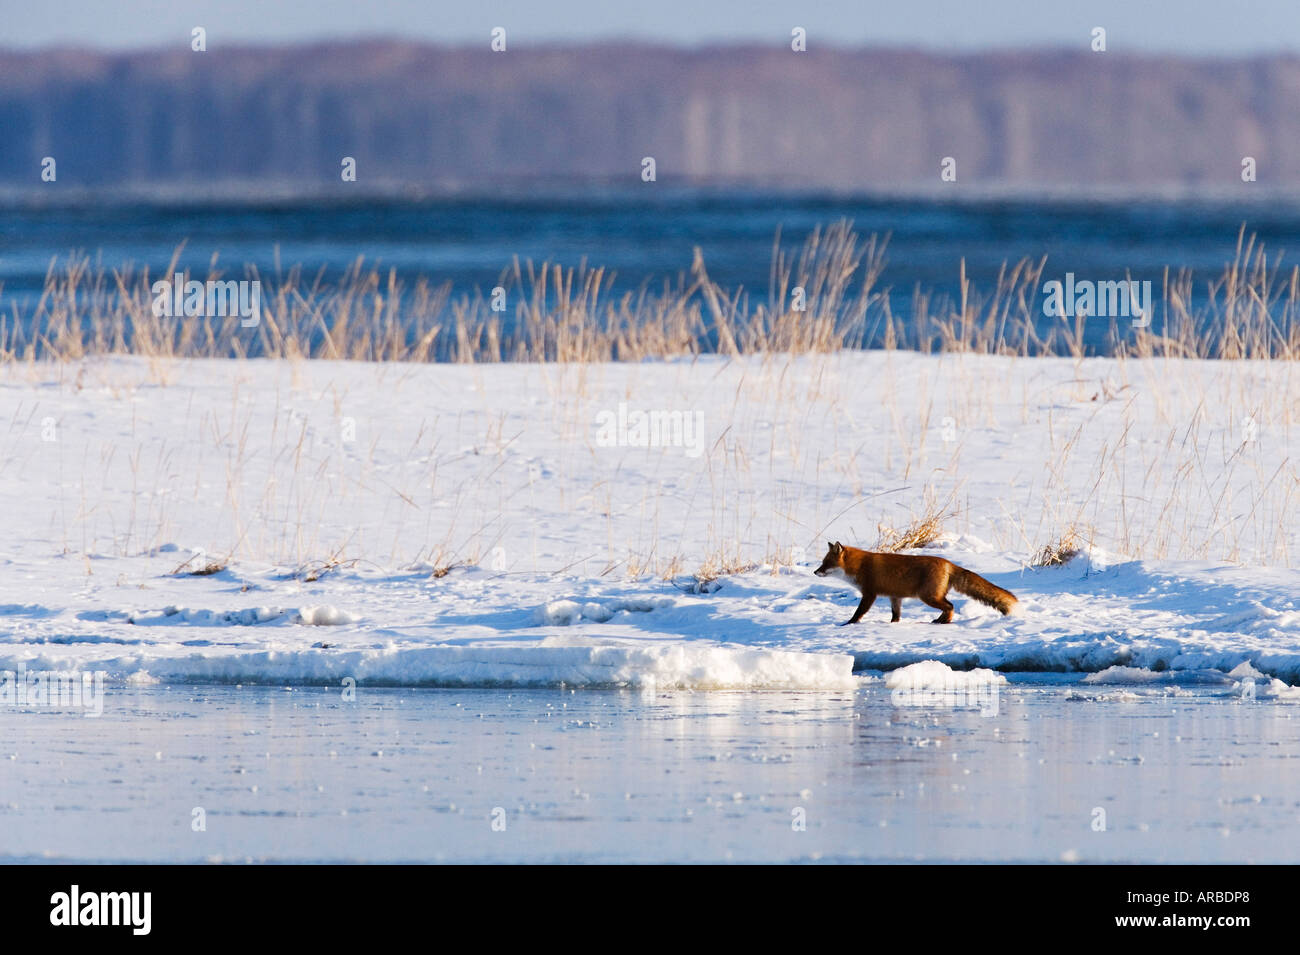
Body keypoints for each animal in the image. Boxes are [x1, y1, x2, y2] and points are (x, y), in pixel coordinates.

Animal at [813, 541, 1018, 625]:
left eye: (826, 563)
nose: (815, 572)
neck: (859, 565)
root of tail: (948, 563)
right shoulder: (894, 596)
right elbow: (896, 615)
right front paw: (893, 624)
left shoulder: (870, 593)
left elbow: (858, 612)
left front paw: (849, 624)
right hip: (933, 596)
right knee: (949, 606)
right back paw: (939, 620)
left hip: (927, 596)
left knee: (950, 606)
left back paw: (944, 621)